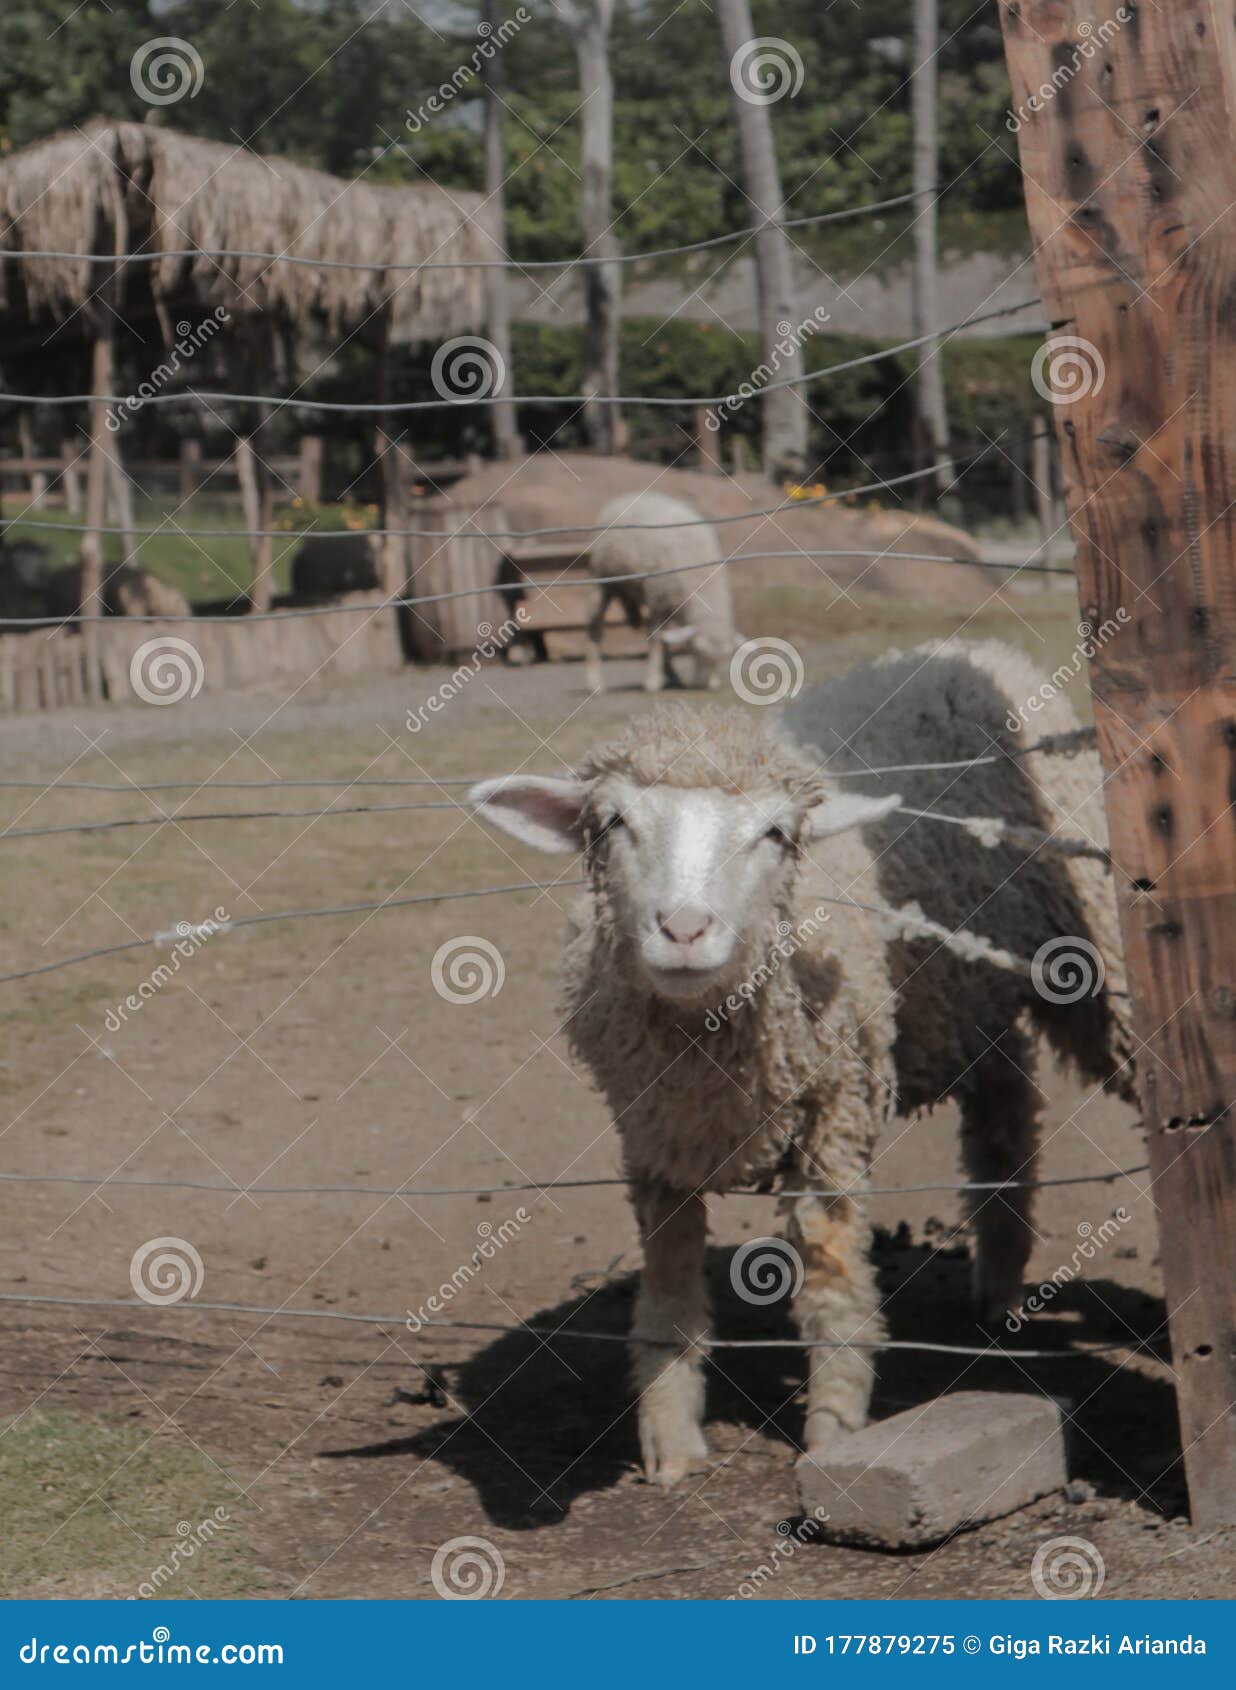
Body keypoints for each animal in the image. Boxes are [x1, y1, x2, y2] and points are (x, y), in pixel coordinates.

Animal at [470, 639, 1134, 1487]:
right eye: (613, 822)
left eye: (776, 835)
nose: (683, 929)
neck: (708, 1035)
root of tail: (977, 652)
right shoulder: (653, 1133)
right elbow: (668, 1294)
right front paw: (670, 1441)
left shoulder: (833, 1115)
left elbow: (831, 1284)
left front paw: (833, 1432)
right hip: (965, 993)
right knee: (1004, 1108)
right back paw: (998, 1276)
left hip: (1088, 954)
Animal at [584, 491, 742, 694]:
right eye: (694, 651)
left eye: (723, 660)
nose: (704, 685)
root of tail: (625, 497)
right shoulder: (657, 600)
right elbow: (657, 641)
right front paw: (653, 681)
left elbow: (664, 641)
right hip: (602, 578)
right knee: (595, 626)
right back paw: (595, 682)